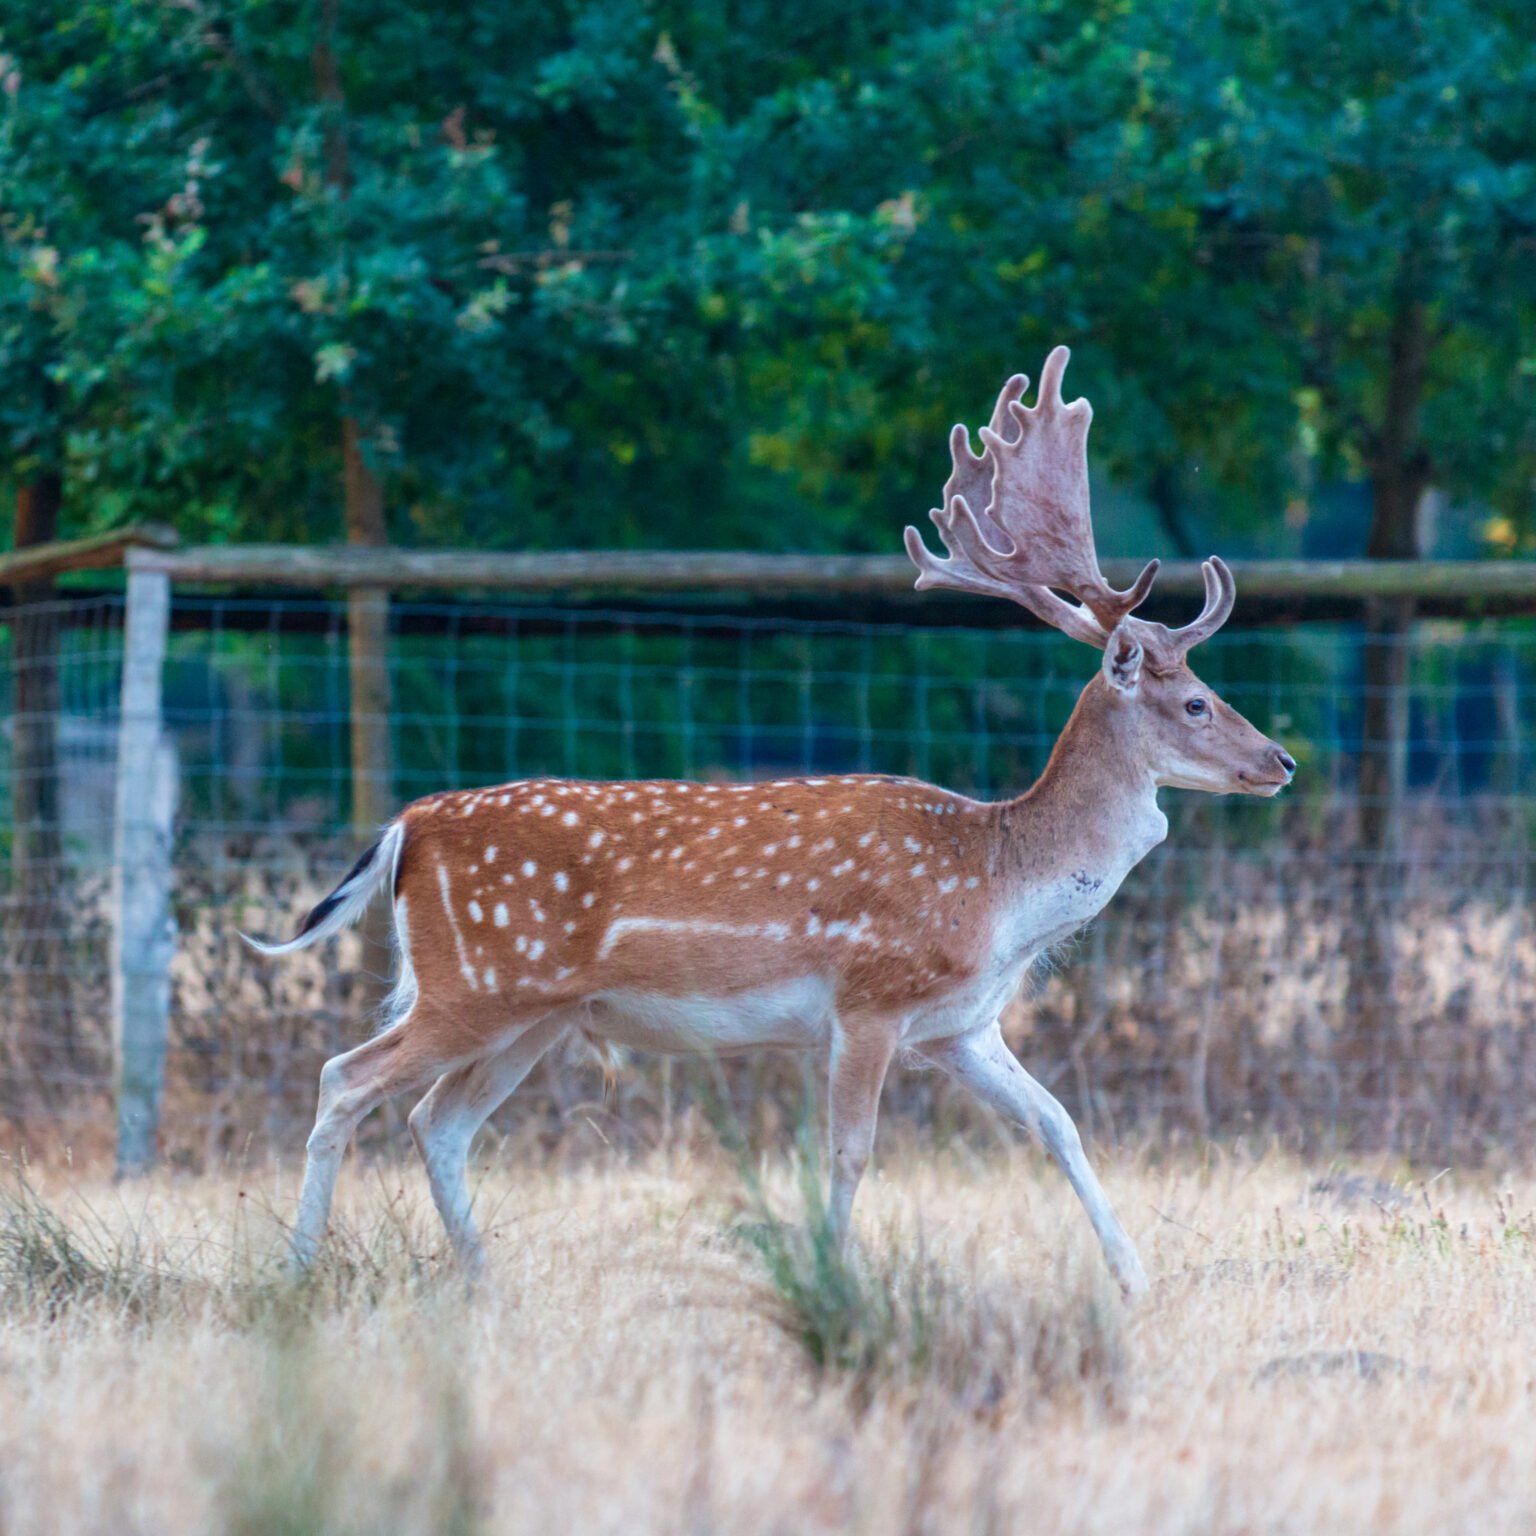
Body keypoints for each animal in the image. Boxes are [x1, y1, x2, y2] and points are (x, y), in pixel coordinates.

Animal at [247, 346, 1293, 1298]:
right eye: (1197, 702)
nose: (1280, 761)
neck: (998, 887)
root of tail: (404, 829)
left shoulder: (962, 1026)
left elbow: (1059, 1123)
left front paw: (1135, 1278)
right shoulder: (869, 998)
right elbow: (849, 1153)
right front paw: (836, 1283)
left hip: (534, 1014)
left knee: (438, 1120)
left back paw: (483, 1280)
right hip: (472, 985)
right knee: (347, 1078)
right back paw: (294, 1273)